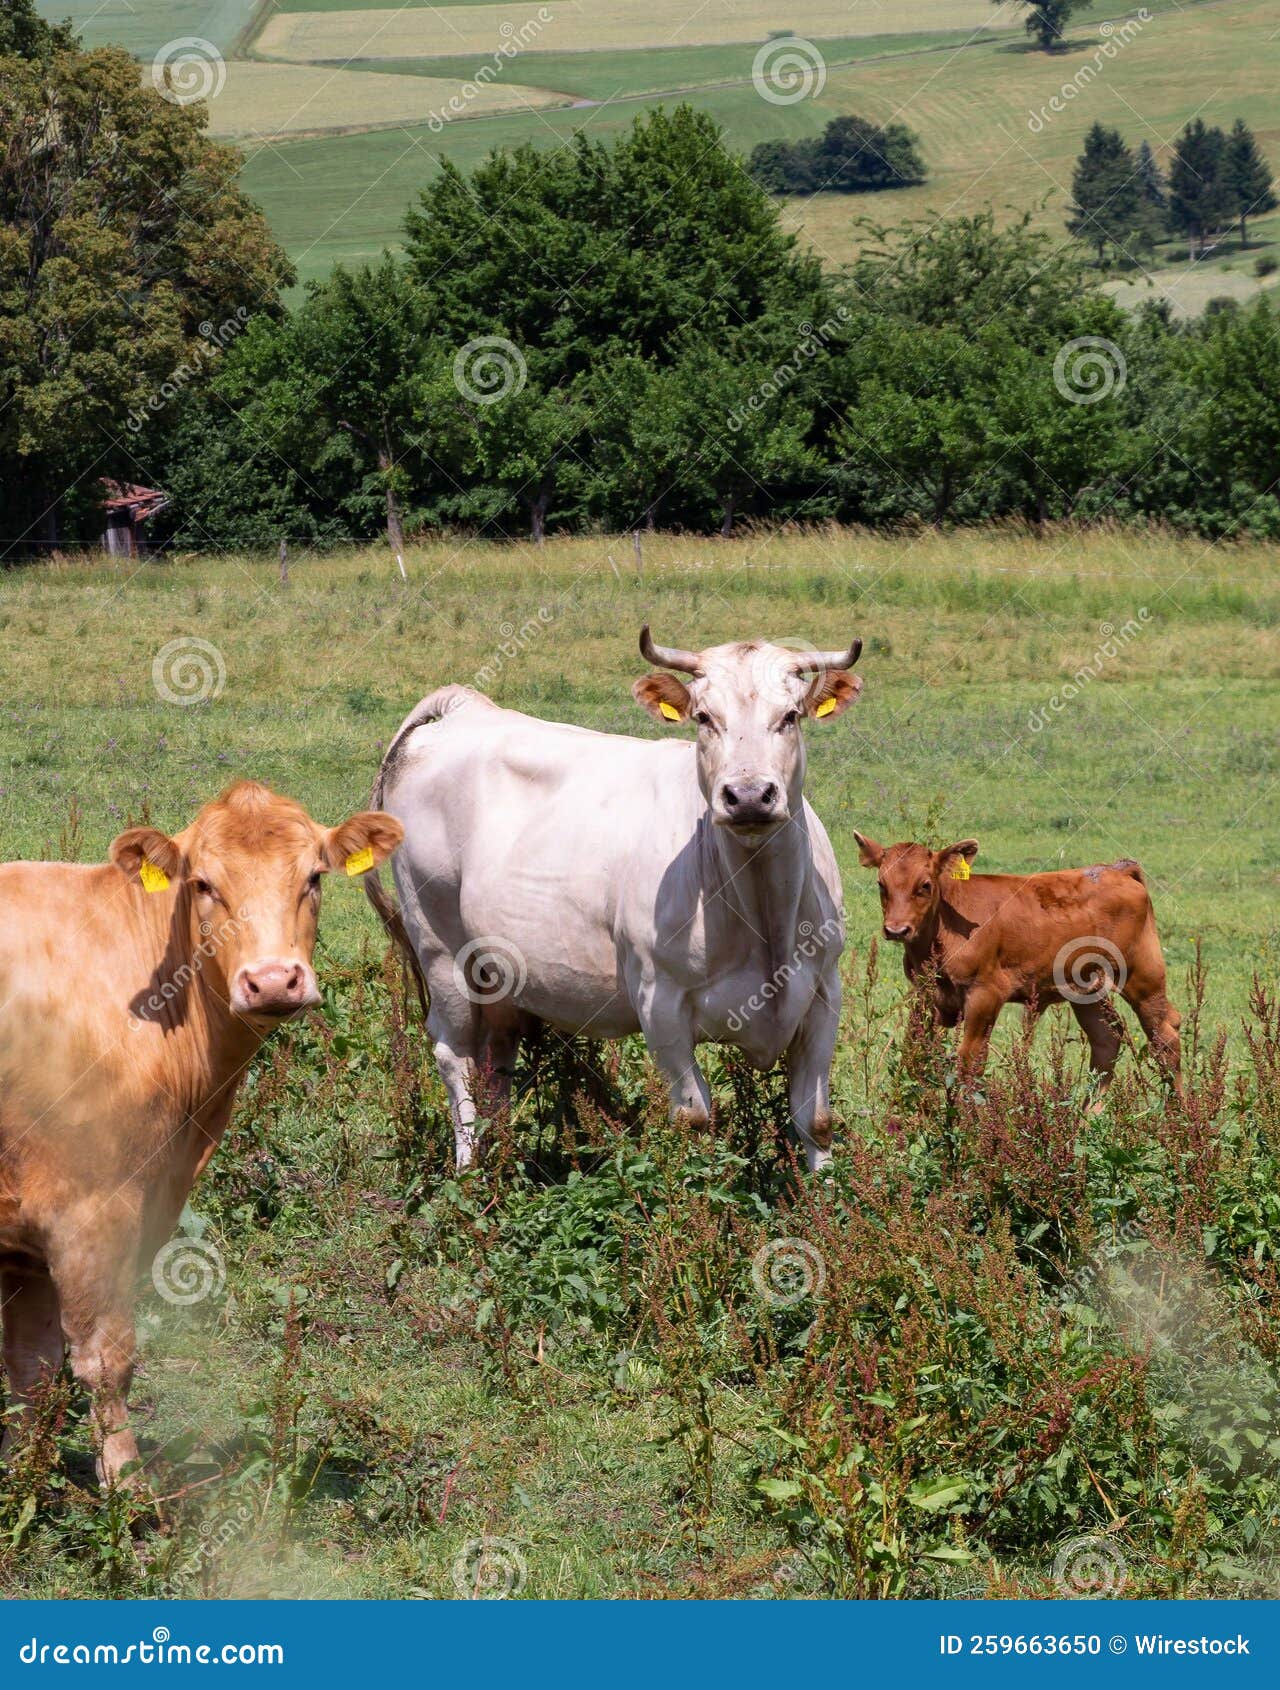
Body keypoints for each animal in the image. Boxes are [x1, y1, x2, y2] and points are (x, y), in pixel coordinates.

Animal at [0, 782, 403, 1487]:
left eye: (314, 877)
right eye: (204, 884)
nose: (272, 980)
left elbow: (30, 1372)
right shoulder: (89, 1210)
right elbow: (105, 1359)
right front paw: (129, 1497)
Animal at [366, 628, 864, 1172]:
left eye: (790, 716)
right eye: (704, 717)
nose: (749, 796)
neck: (762, 913)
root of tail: (466, 706)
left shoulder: (824, 993)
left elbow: (816, 1120)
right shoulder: (659, 1000)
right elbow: (693, 1120)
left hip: (499, 972)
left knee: (496, 1058)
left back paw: (502, 1167)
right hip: (439, 946)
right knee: (455, 1055)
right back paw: (469, 1171)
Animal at [853, 832, 1181, 1094]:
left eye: (924, 885)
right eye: (881, 884)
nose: (897, 929)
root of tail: (1117, 870)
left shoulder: (986, 994)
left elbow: (970, 1063)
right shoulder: (926, 996)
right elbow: (917, 1058)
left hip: (1142, 975)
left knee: (1165, 1037)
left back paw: (1177, 1117)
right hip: (1086, 987)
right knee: (1107, 1039)